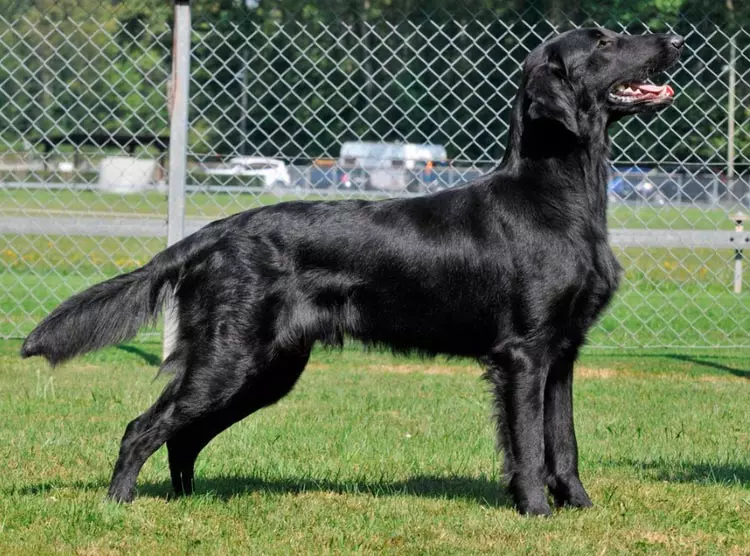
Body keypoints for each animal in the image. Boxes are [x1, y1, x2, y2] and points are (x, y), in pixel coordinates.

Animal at [22, 28, 680, 516]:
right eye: (604, 43)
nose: (671, 36)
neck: (556, 196)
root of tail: (213, 233)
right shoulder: (523, 353)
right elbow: (528, 444)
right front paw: (536, 512)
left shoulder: (563, 351)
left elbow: (563, 443)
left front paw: (582, 510)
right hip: (230, 359)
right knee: (143, 426)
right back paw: (118, 505)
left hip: (268, 368)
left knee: (182, 434)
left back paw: (187, 502)